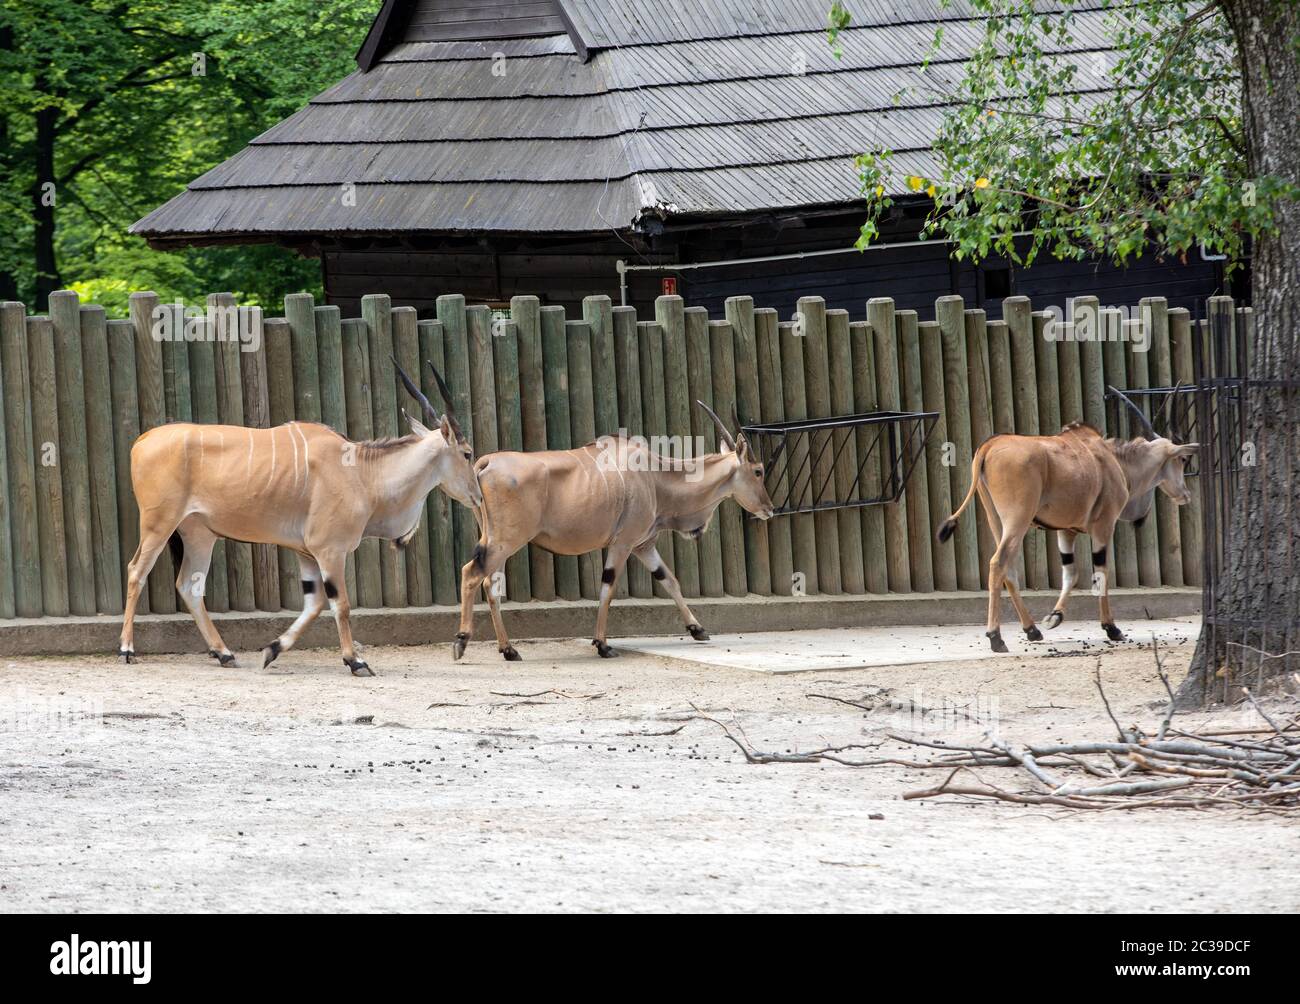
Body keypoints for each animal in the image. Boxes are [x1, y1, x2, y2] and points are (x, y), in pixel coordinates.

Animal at [118, 361, 482, 676]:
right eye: (467, 453)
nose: (478, 496)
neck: (362, 472)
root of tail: (142, 441)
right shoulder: (330, 550)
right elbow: (340, 604)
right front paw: (355, 661)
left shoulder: (308, 553)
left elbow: (315, 603)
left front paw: (271, 650)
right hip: (158, 525)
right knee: (137, 571)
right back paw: (127, 649)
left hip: (199, 535)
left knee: (189, 585)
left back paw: (224, 653)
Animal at [451, 402, 775, 661]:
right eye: (758, 471)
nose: (769, 509)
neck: (656, 476)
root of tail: (485, 462)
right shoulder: (624, 543)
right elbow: (608, 587)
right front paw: (603, 645)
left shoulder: (644, 545)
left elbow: (669, 580)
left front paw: (698, 629)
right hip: (506, 541)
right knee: (471, 573)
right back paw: (463, 641)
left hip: (497, 542)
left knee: (489, 585)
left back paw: (509, 649)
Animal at [936, 388, 1198, 652]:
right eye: (1181, 460)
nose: (1186, 494)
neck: (1115, 461)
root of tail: (989, 446)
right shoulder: (1104, 525)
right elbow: (1101, 572)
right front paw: (1111, 628)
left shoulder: (1066, 531)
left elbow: (1071, 573)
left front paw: (1054, 617)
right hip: (1017, 521)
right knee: (998, 563)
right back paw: (996, 637)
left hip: (997, 522)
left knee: (1009, 569)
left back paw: (1032, 630)